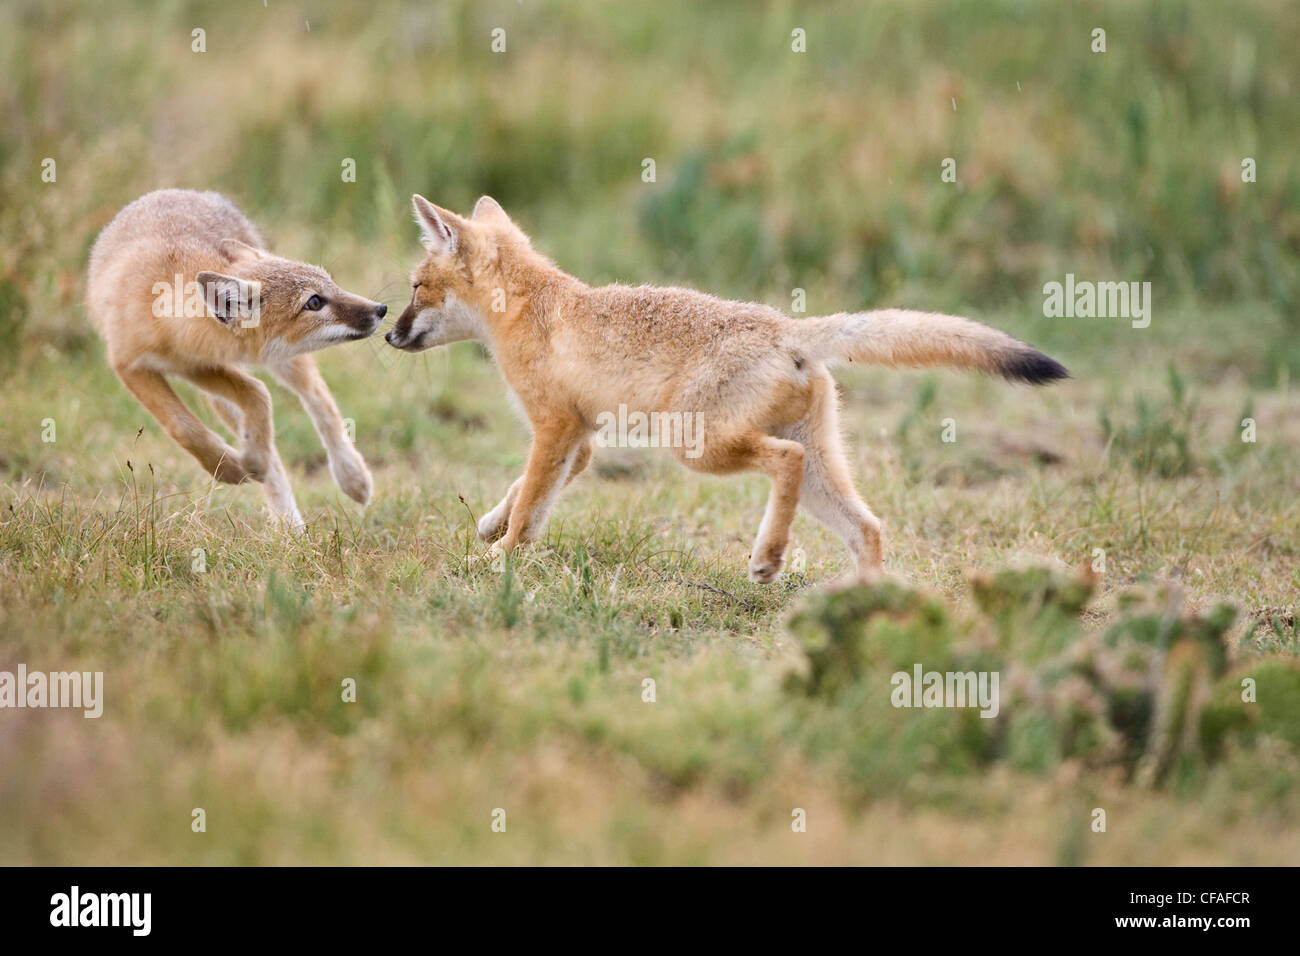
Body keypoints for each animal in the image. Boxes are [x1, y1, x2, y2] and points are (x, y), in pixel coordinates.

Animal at [86, 189, 387, 530]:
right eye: (314, 302)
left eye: (332, 284)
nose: (381, 309)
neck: (162, 313)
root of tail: (187, 192)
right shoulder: (139, 365)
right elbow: (185, 425)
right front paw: (229, 467)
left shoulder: (198, 365)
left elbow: (260, 396)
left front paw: (246, 462)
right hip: (216, 388)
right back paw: (288, 521)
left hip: (284, 364)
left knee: (318, 398)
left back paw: (350, 478)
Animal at [386, 193, 1068, 583]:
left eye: (417, 287)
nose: (390, 333)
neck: (535, 307)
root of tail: (788, 328)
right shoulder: (579, 439)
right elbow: (524, 492)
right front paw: (491, 528)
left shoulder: (555, 428)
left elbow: (531, 504)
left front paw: (497, 558)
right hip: (816, 468)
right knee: (868, 527)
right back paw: (865, 610)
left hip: (700, 447)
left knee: (786, 462)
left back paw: (768, 558)